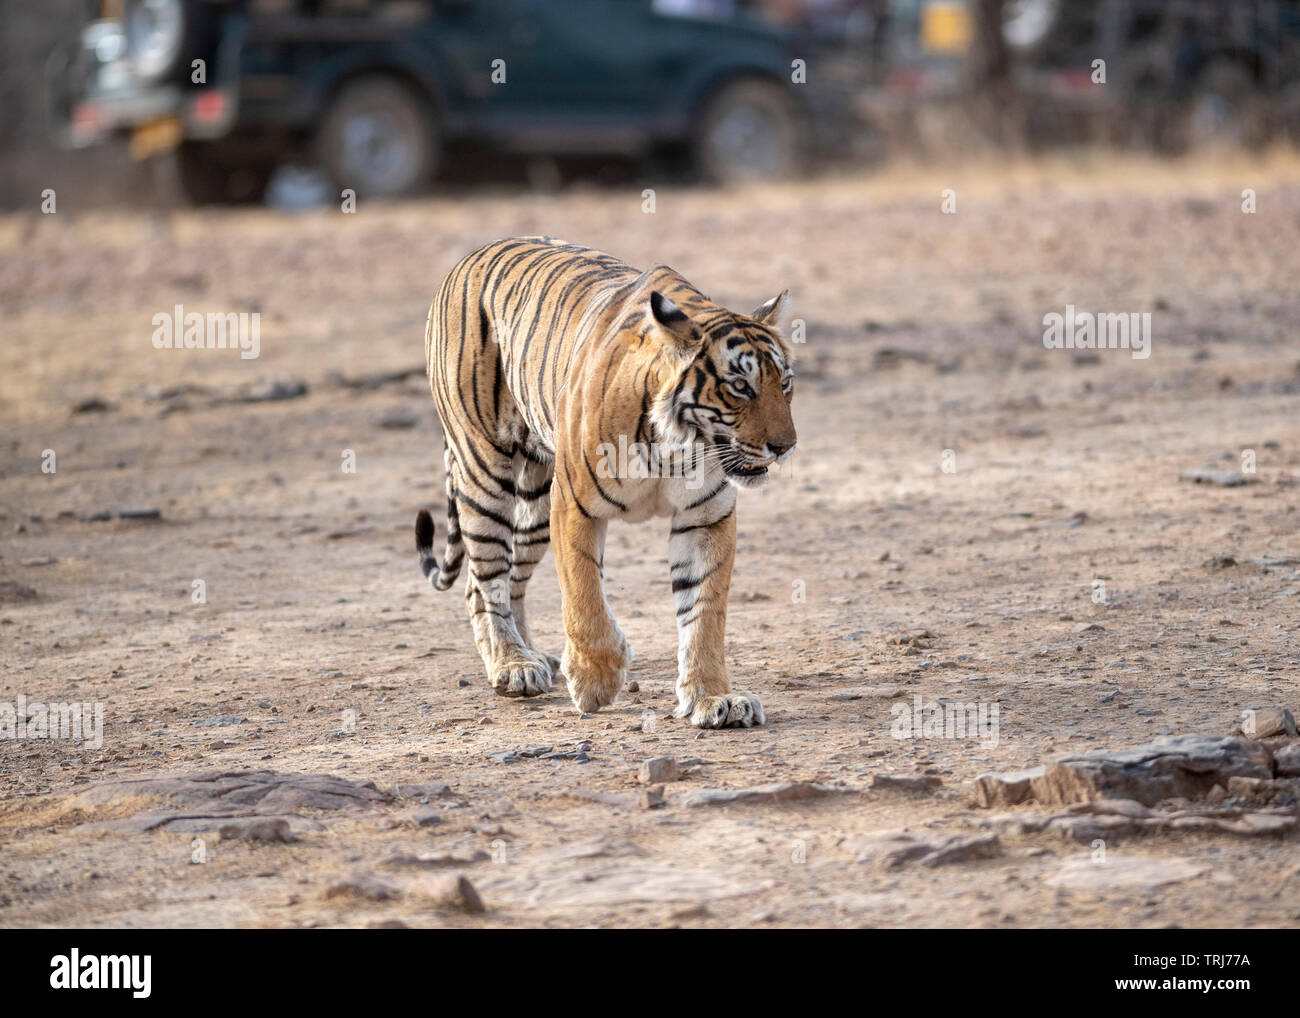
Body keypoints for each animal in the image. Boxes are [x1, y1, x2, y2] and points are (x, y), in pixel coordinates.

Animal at [414, 237, 796, 728]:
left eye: (784, 384)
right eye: (740, 386)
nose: (785, 446)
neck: (678, 447)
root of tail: (469, 256)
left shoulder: (705, 518)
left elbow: (704, 612)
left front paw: (714, 698)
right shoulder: (574, 505)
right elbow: (584, 596)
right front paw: (595, 680)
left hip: (535, 503)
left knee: (509, 576)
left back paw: (535, 657)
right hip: (484, 472)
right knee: (486, 578)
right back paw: (512, 666)